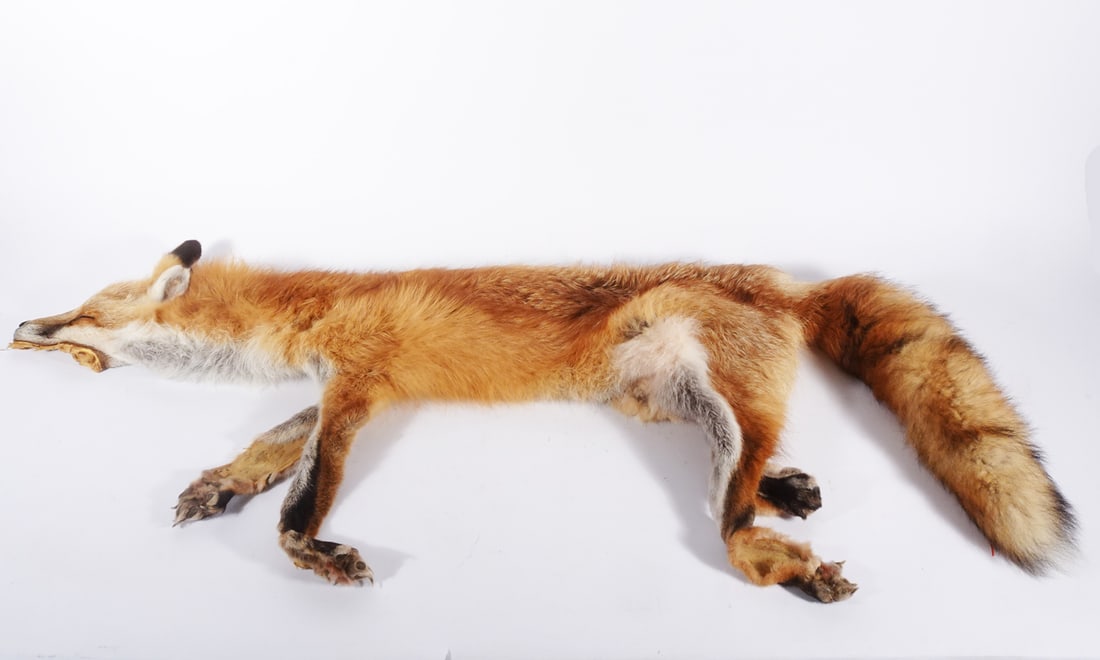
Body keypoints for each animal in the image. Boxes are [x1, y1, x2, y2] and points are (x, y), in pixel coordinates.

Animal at [10, 240, 1076, 602]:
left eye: (86, 313)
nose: (25, 326)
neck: (308, 311)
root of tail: (785, 285)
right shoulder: (338, 393)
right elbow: (274, 449)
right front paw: (222, 483)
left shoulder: (357, 385)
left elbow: (299, 501)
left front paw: (316, 554)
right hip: (659, 395)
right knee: (738, 467)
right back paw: (789, 489)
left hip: (697, 372)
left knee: (725, 517)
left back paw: (773, 550)